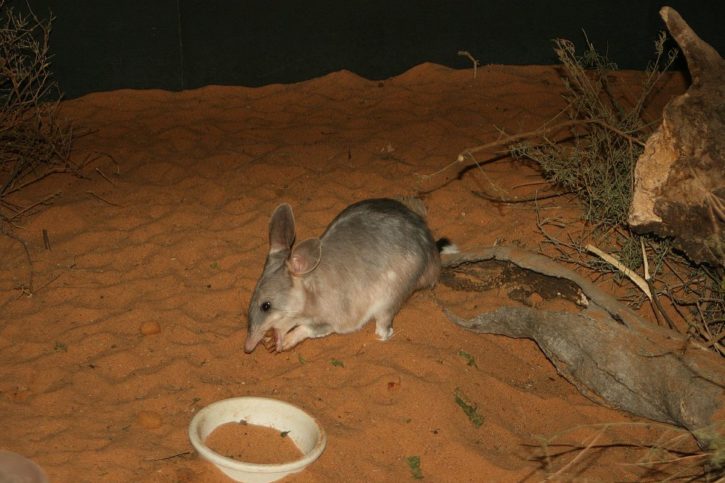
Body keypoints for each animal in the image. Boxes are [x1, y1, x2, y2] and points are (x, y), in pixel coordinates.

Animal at [244, 198, 453, 353]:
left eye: (266, 306)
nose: (247, 347)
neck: (310, 288)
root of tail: (432, 253)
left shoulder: (332, 320)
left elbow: (306, 328)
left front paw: (285, 340)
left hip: (390, 297)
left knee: (383, 330)